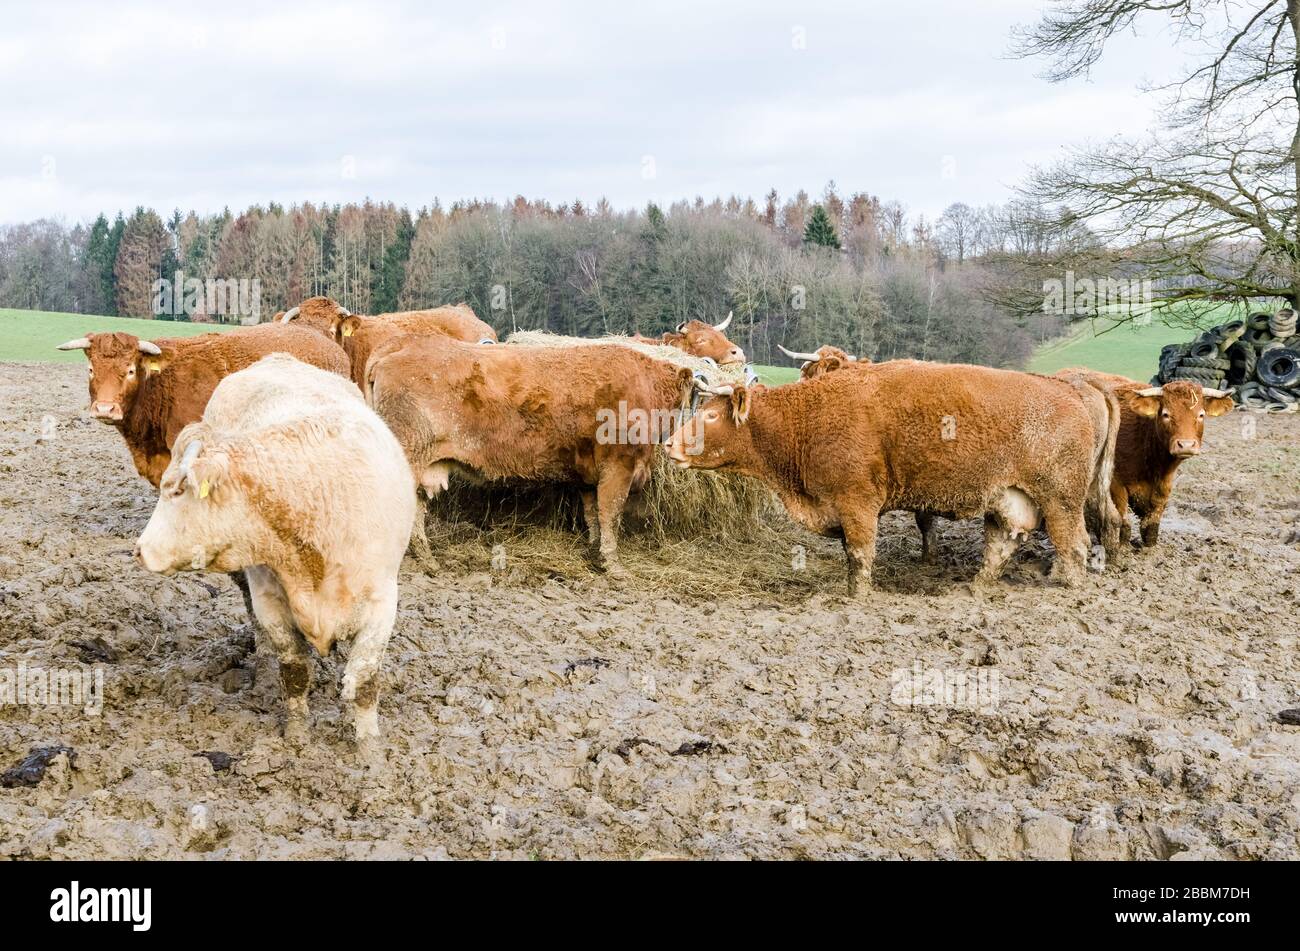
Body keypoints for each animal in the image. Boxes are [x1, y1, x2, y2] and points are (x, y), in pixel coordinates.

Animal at [135, 354, 415, 763]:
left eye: (175, 490)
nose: (139, 549)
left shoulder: (382, 602)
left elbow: (363, 681)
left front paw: (369, 751)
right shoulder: (271, 600)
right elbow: (294, 671)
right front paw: (296, 738)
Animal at [365, 334, 697, 574]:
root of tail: (401, 343)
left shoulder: (590, 476)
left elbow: (593, 516)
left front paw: (595, 555)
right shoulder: (619, 467)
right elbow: (610, 514)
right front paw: (614, 566)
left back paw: (428, 561)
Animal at [664, 359, 1121, 593]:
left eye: (709, 416)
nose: (668, 445)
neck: (808, 418)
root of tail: (1072, 390)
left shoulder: (857, 504)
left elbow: (860, 556)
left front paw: (858, 597)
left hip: (1061, 502)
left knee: (1075, 546)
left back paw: (1070, 590)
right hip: (1010, 499)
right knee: (1002, 543)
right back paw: (975, 589)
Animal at [1054, 371, 1234, 548]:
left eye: (1201, 414)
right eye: (1166, 414)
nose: (1186, 445)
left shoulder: (1164, 485)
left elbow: (1152, 521)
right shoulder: (1116, 483)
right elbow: (1122, 516)